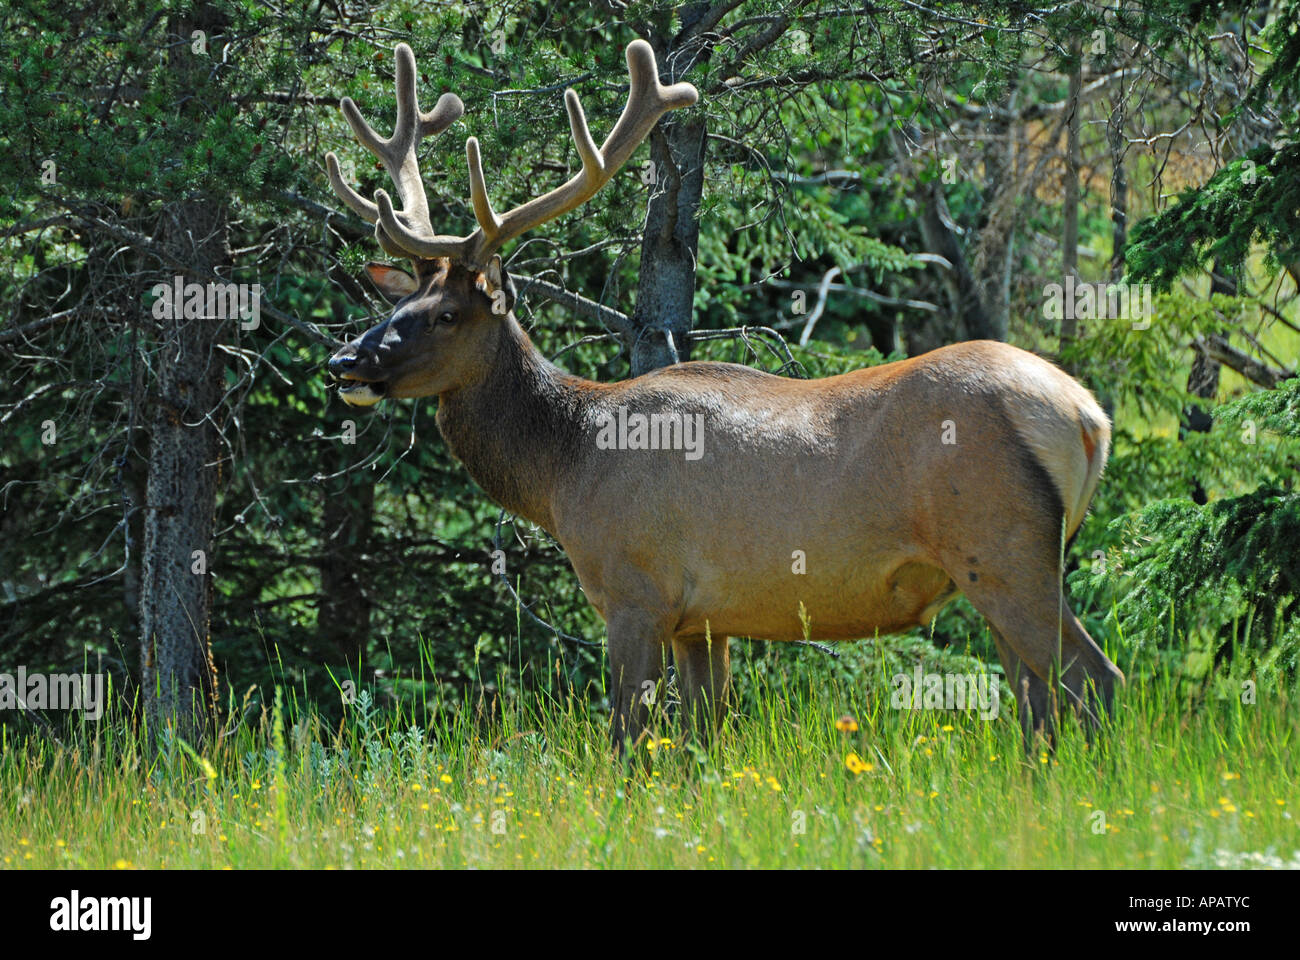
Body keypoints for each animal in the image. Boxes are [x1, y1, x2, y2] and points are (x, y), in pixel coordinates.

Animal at [323, 39, 1124, 756]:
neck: (564, 468)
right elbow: (700, 746)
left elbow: (627, 742)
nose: (343, 360)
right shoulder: (704, 620)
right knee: (1037, 699)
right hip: (1005, 564)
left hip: (1004, 545)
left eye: (446, 315)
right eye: (401, 300)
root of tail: (1088, 416)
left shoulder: (637, 591)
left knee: (1094, 678)